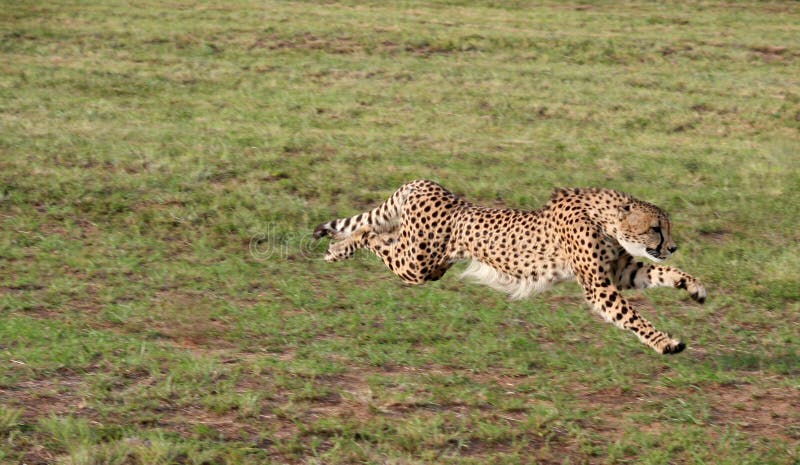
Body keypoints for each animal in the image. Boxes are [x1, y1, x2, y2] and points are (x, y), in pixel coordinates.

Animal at [313, 179, 706, 354]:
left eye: (666, 228)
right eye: (656, 228)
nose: (672, 246)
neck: (604, 217)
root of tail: (428, 185)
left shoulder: (620, 273)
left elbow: (662, 273)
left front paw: (694, 286)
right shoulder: (600, 287)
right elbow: (633, 317)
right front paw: (665, 342)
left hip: (422, 258)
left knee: (379, 232)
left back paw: (336, 247)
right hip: (416, 264)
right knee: (368, 232)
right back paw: (337, 250)